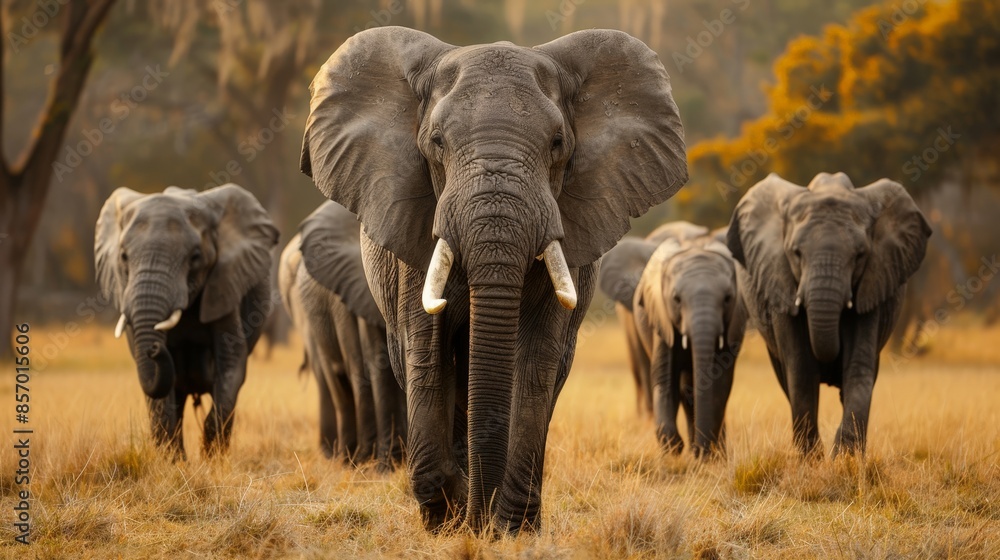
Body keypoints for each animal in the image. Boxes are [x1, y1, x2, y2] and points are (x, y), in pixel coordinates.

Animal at [94, 184, 279, 458]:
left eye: (195, 257)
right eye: (124, 257)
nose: (155, 348)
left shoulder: (225, 285)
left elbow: (232, 363)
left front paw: (211, 458)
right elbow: (157, 389)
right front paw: (172, 461)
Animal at [278, 201, 406, 469]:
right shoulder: (350, 290)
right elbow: (373, 365)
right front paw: (383, 466)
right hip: (306, 316)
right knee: (333, 380)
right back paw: (343, 458)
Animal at [300, 28, 687, 533]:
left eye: (557, 142)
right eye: (437, 142)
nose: (477, 521)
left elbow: (536, 359)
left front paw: (507, 528)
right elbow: (427, 353)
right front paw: (449, 517)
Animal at [726, 172, 931, 456]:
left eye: (860, 255)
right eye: (796, 253)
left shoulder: (873, 282)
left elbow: (858, 365)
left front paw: (846, 457)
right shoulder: (780, 281)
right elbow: (801, 368)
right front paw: (811, 459)